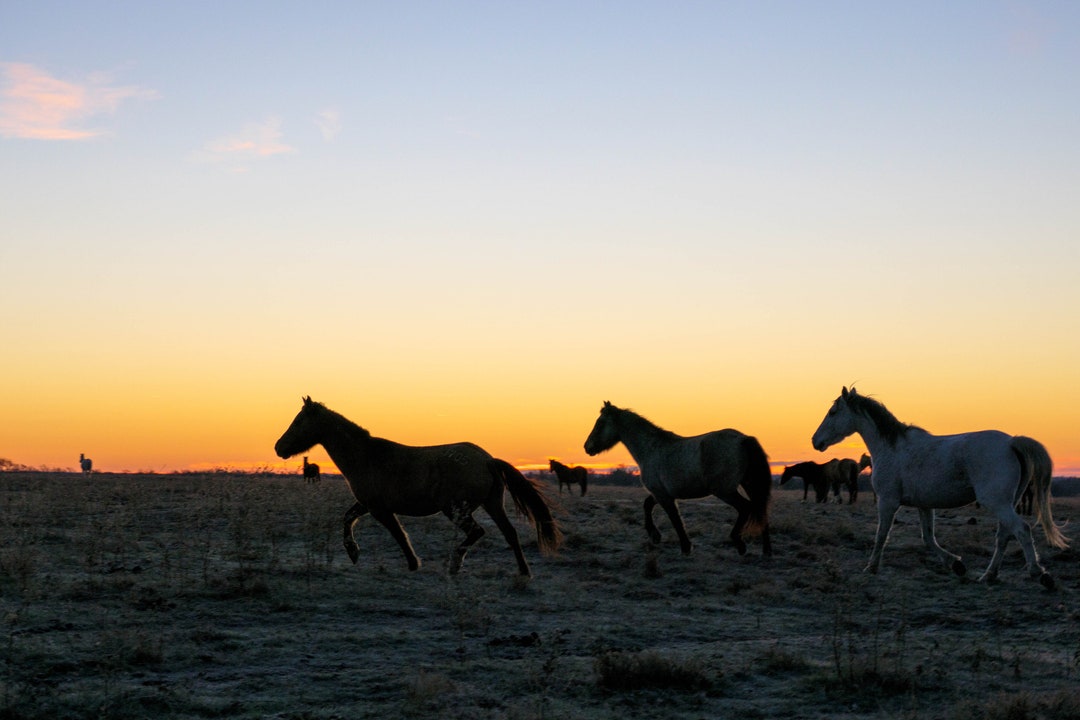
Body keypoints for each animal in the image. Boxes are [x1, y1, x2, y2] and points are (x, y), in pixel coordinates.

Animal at [275, 397, 561, 576]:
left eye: (299, 421)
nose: (279, 448)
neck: (366, 457)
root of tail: (488, 460)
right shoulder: (367, 505)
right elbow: (347, 518)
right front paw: (353, 553)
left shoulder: (380, 509)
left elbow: (399, 534)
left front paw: (413, 564)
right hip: (492, 504)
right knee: (510, 534)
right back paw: (524, 572)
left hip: (456, 510)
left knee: (478, 532)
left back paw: (454, 565)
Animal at [583, 401, 772, 557]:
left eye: (600, 423)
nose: (587, 447)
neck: (651, 449)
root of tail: (743, 439)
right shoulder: (660, 493)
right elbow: (648, 505)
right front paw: (655, 536)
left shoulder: (663, 496)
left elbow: (675, 519)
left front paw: (685, 547)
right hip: (748, 485)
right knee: (760, 509)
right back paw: (766, 551)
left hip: (725, 491)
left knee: (746, 508)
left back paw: (739, 543)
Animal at [811, 387, 1067, 588]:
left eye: (833, 412)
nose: (816, 441)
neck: (891, 448)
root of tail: (1011, 442)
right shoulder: (924, 506)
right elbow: (928, 539)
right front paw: (955, 564)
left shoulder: (887, 501)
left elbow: (882, 535)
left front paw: (871, 567)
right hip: (1007, 502)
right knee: (1004, 536)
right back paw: (988, 576)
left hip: (997, 503)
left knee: (1021, 530)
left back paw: (1039, 574)